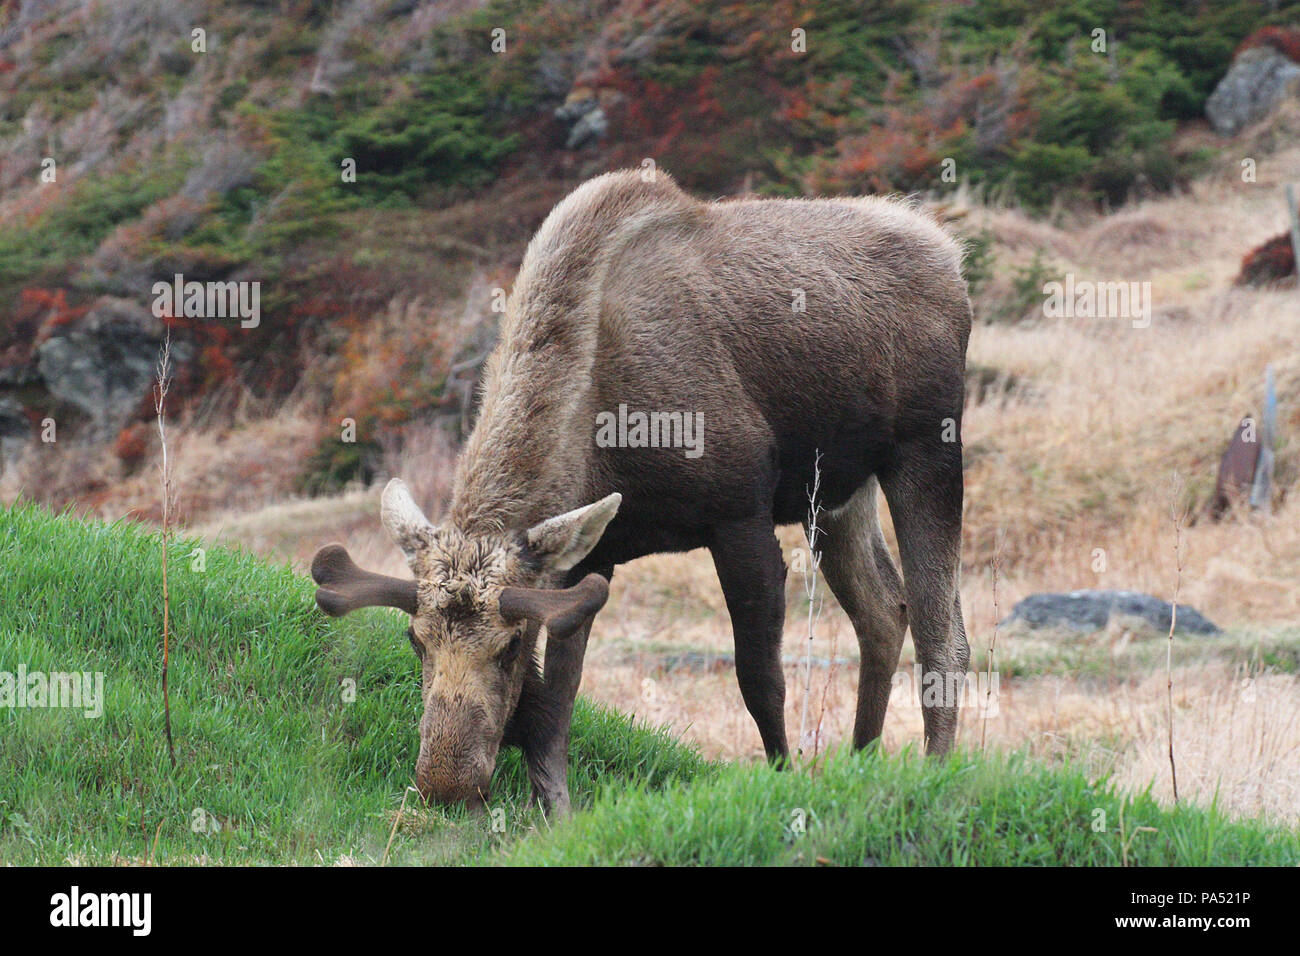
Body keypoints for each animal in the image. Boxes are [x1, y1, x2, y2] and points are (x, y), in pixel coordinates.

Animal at [310, 169, 973, 814]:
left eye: (509, 645)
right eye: (414, 640)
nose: (445, 783)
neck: (603, 438)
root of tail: (952, 256)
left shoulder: (739, 514)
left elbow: (761, 680)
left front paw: (788, 784)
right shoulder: (589, 558)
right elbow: (552, 717)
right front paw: (556, 817)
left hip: (926, 447)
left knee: (944, 634)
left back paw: (936, 774)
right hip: (838, 492)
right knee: (883, 610)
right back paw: (862, 764)